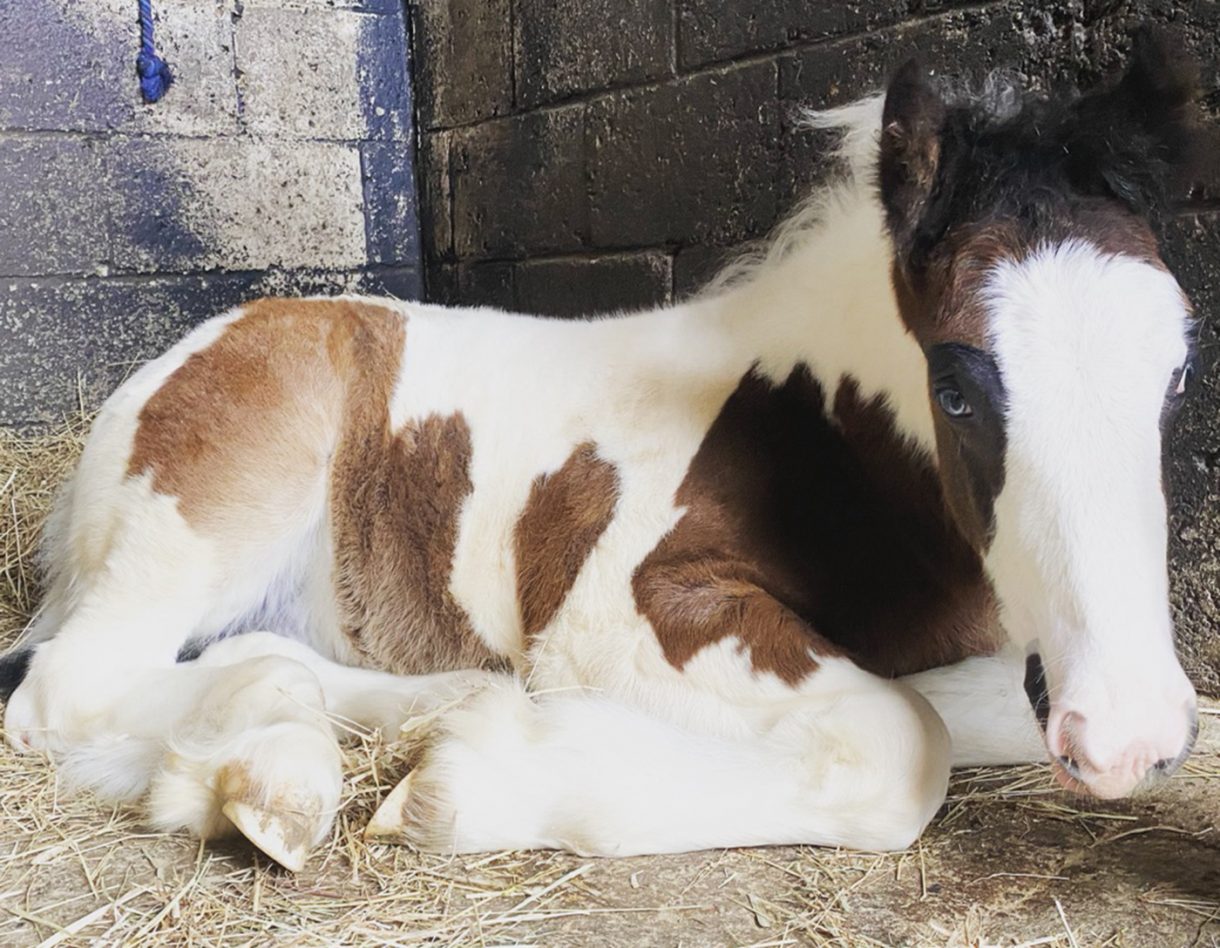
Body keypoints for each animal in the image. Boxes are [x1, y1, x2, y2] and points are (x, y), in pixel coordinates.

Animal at [0, 30, 1205, 870]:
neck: (827, 438)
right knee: (64, 685)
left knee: (249, 656)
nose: (1130, 733)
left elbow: (966, 706)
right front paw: (472, 786)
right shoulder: (621, 611)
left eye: (1179, 370)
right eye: (953, 386)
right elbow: (906, 746)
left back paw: (316, 755)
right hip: (215, 508)